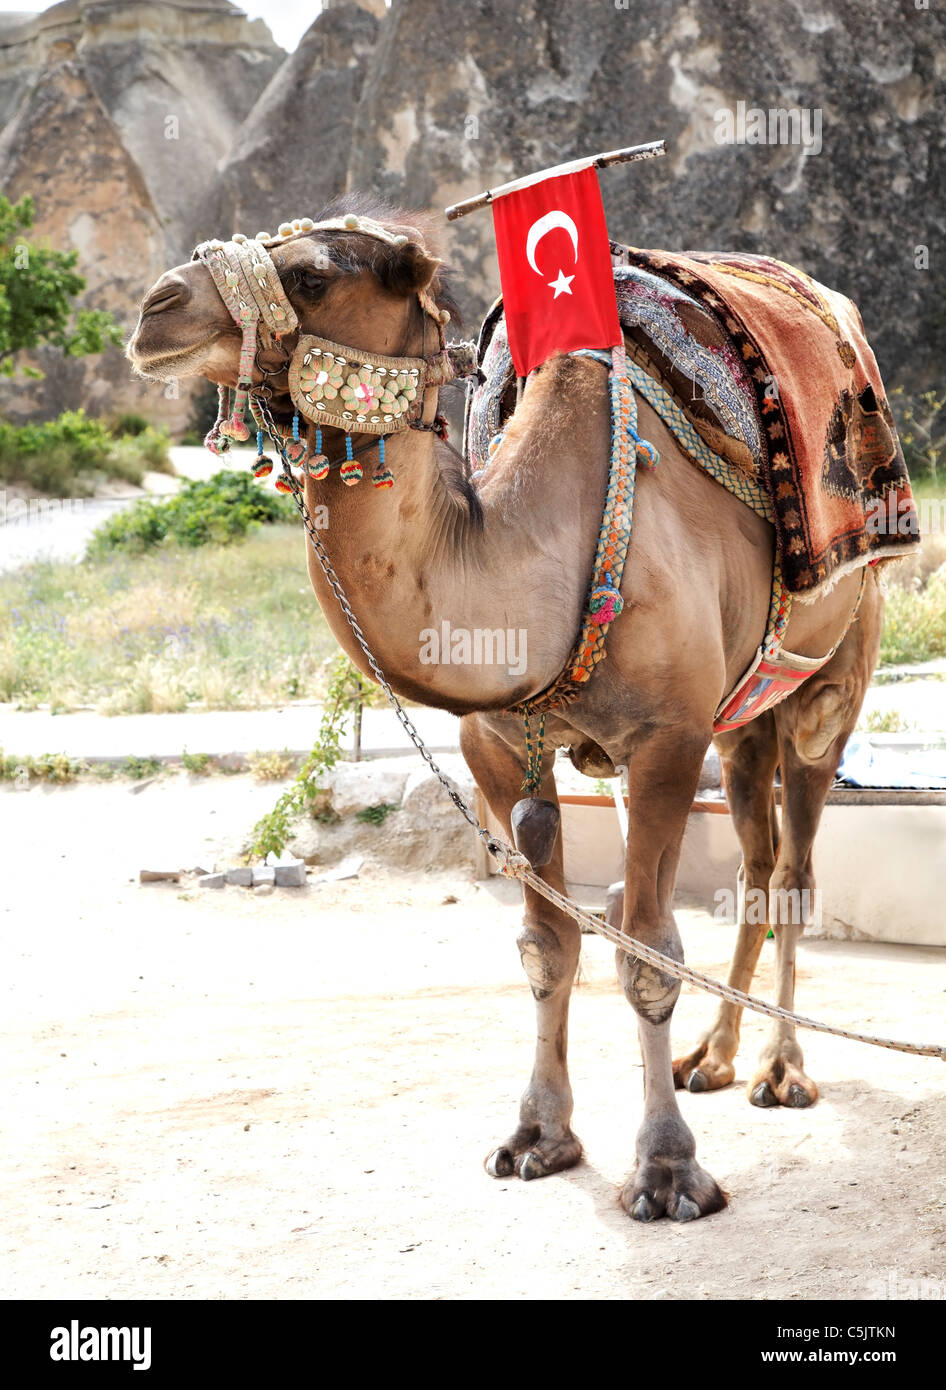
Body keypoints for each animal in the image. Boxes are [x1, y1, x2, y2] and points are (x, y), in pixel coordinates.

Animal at [127, 195, 884, 1222]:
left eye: (313, 275)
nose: (153, 310)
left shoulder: (667, 739)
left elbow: (645, 947)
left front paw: (668, 1172)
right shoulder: (495, 741)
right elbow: (547, 943)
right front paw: (538, 1138)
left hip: (826, 680)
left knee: (797, 862)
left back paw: (783, 1070)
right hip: (743, 717)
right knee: (758, 863)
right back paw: (716, 1059)